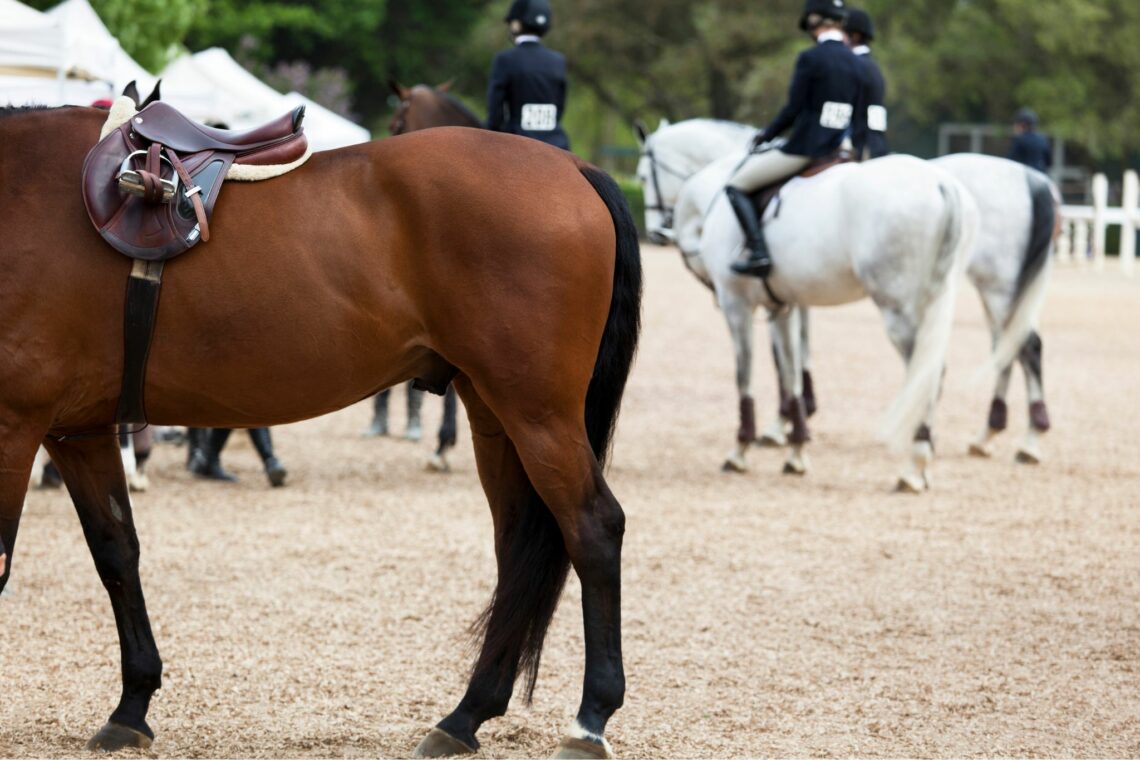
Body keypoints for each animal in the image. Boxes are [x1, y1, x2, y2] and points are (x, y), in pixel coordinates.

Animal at [0, 103, 641, 759]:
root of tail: (574, 167)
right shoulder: (78, 430)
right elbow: (116, 551)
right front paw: (132, 705)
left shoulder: (15, 423)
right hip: (494, 413)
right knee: (517, 544)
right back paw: (467, 715)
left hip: (538, 413)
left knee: (593, 529)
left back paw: (589, 720)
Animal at [636, 119, 1057, 465]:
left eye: (642, 176)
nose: (657, 233)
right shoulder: (787, 301)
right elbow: (790, 362)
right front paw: (792, 431)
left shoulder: (740, 302)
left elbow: (760, 369)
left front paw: (760, 438)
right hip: (990, 291)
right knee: (1008, 348)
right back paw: (992, 436)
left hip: (937, 298)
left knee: (969, 359)